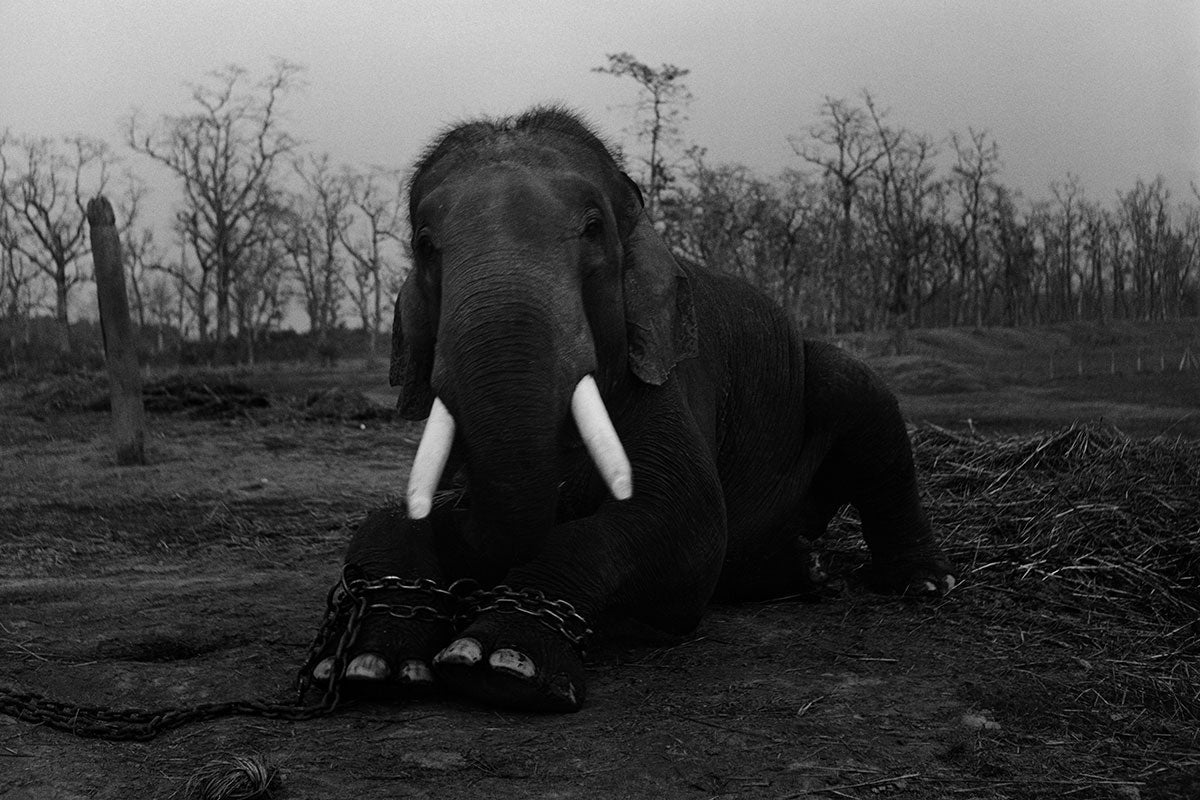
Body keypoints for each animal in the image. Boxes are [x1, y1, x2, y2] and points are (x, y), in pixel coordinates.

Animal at [311, 105, 955, 712]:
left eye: (594, 228)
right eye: (424, 245)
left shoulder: (671, 380)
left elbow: (686, 519)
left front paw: (500, 665)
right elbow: (391, 517)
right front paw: (370, 664)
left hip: (828, 382)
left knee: (868, 413)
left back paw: (922, 584)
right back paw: (805, 568)